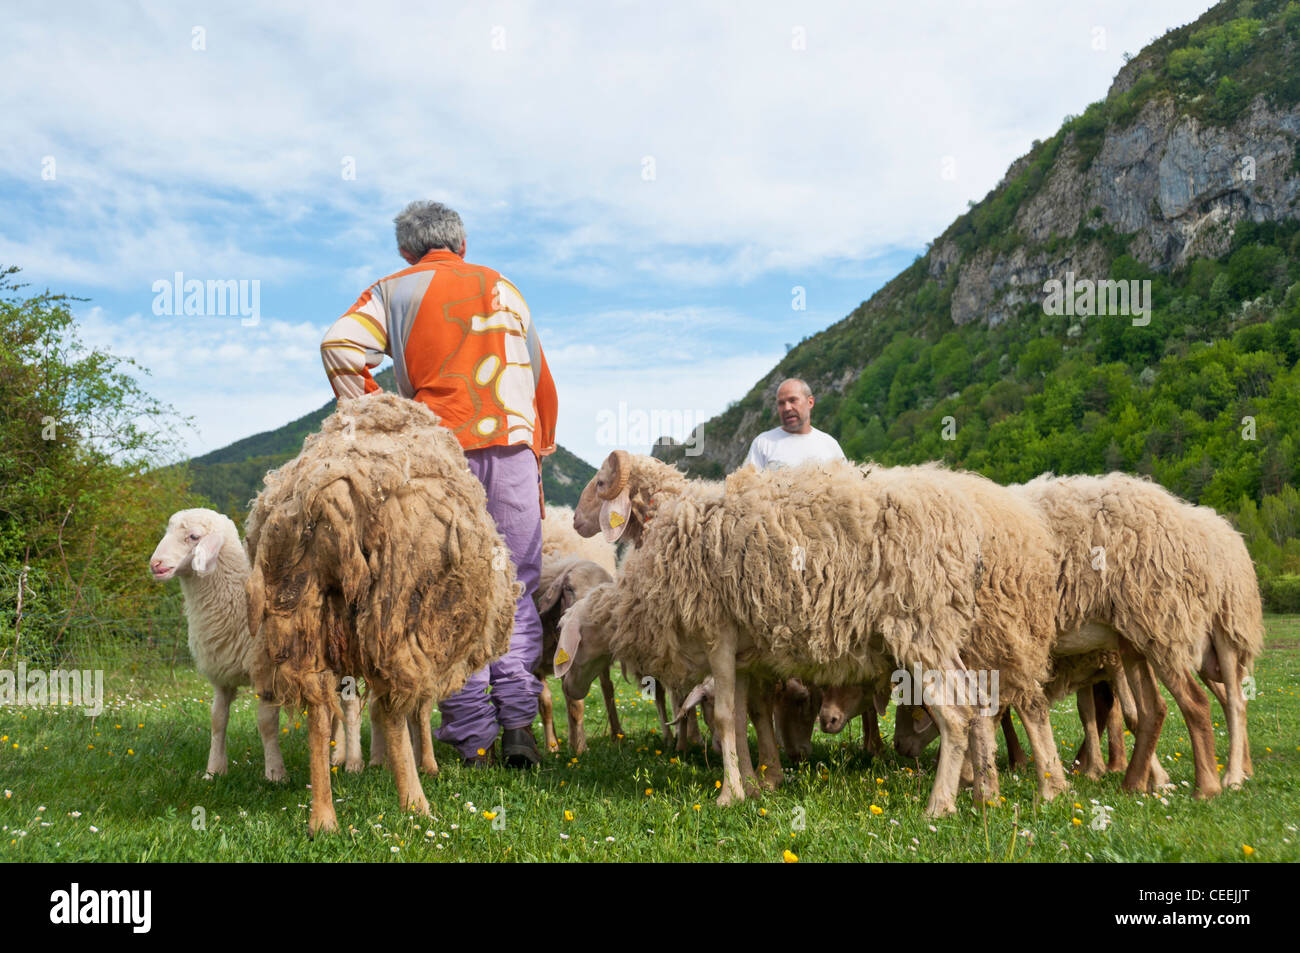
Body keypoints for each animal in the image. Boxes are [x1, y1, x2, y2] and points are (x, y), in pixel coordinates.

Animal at [148, 508, 364, 781]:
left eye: (193, 536)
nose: (155, 564)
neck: (236, 600)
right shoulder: (222, 676)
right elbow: (217, 720)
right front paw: (214, 771)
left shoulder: (267, 674)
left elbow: (266, 724)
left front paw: (275, 773)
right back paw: (335, 756)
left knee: (351, 705)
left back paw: (354, 763)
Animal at [244, 393, 518, 834]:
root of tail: (330, 490)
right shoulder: (426, 639)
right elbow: (418, 710)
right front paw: (427, 764)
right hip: (397, 614)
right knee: (391, 713)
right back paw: (415, 802)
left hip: (299, 612)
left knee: (319, 711)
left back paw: (323, 819)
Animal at [558, 456, 1070, 816]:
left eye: (600, 483)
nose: (568, 689)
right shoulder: (743, 654)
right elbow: (741, 717)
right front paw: (755, 784)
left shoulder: (717, 633)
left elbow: (723, 717)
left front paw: (729, 795)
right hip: (954, 635)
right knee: (981, 703)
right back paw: (989, 793)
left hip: (926, 629)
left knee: (963, 712)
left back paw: (947, 804)